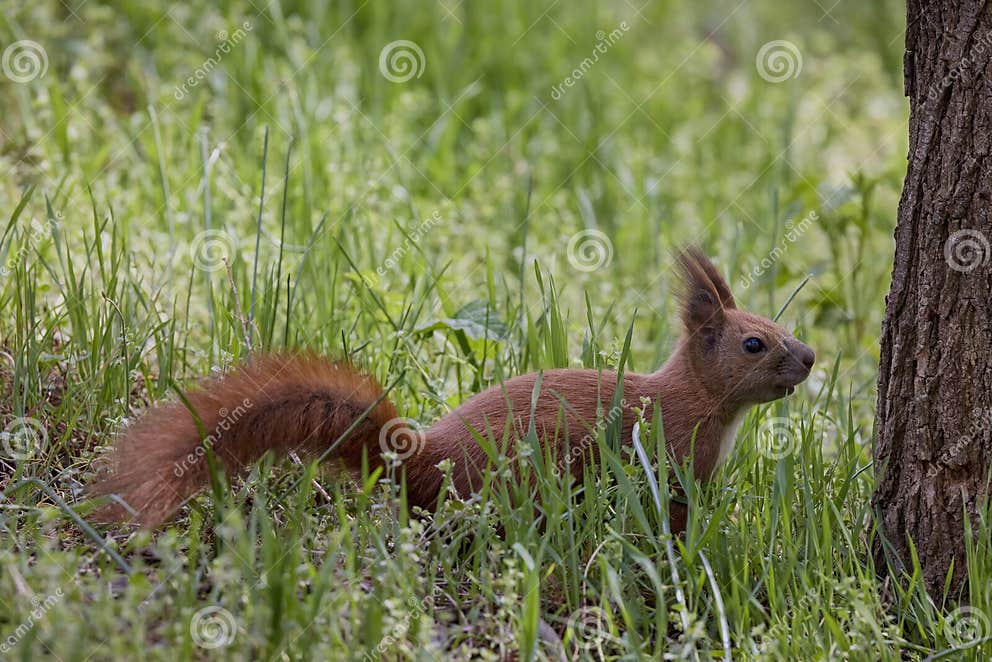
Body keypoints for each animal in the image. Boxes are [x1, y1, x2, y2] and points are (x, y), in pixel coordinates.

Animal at [90, 247, 815, 529]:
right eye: (754, 343)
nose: (809, 358)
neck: (695, 401)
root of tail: (423, 460)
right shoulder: (672, 460)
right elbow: (675, 515)